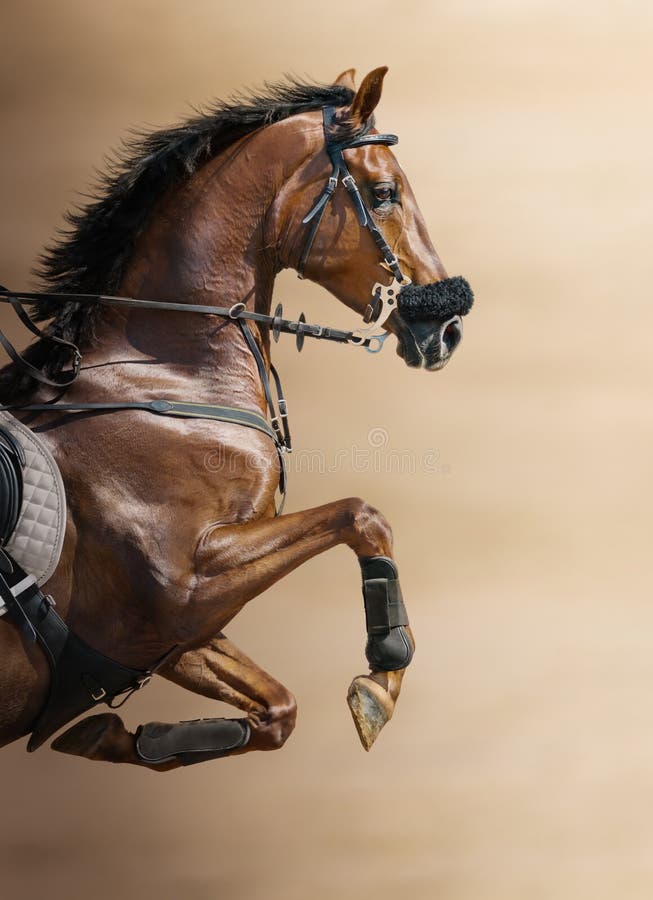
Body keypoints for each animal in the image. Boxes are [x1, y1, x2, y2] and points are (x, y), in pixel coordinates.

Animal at [0, 67, 473, 769]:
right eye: (384, 193)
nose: (447, 330)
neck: (168, 374)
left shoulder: (160, 637)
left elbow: (278, 711)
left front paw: (105, 735)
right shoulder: (185, 584)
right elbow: (361, 516)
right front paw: (383, 672)